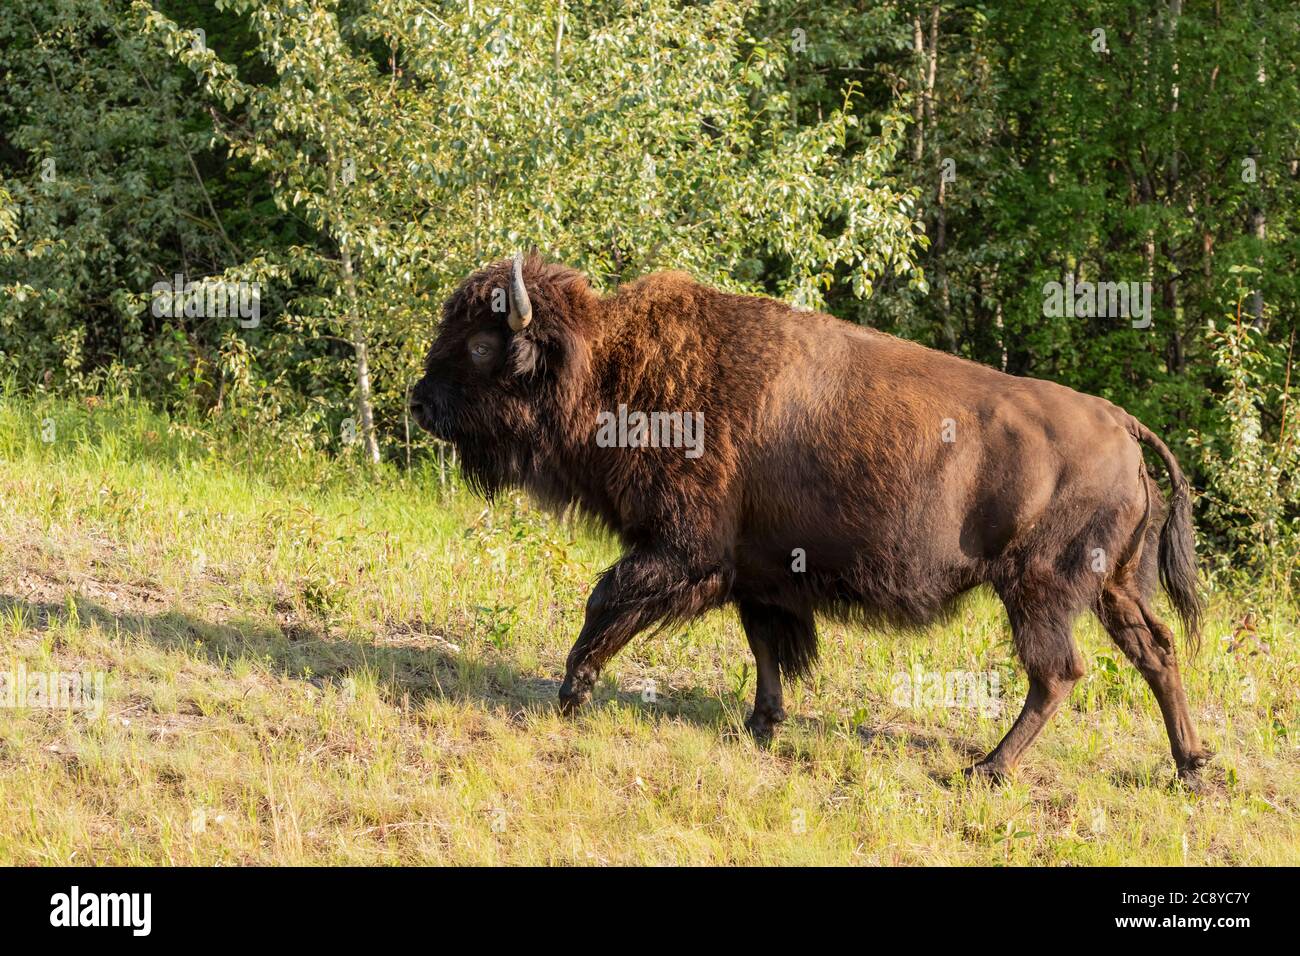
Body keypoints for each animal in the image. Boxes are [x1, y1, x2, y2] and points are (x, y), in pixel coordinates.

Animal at [410, 252, 1211, 783]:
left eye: (480, 345)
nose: (418, 401)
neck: (611, 367)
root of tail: (1123, 426)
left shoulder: (683, 551)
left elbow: (607, 599)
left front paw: (571, 693)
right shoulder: (757, 573)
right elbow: (767, 646)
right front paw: (760, 726)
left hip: (1040, 590)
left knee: (1057, 673)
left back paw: (987, 769)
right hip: (1112, 588)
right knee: (1156, 651)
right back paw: (1191, 766)